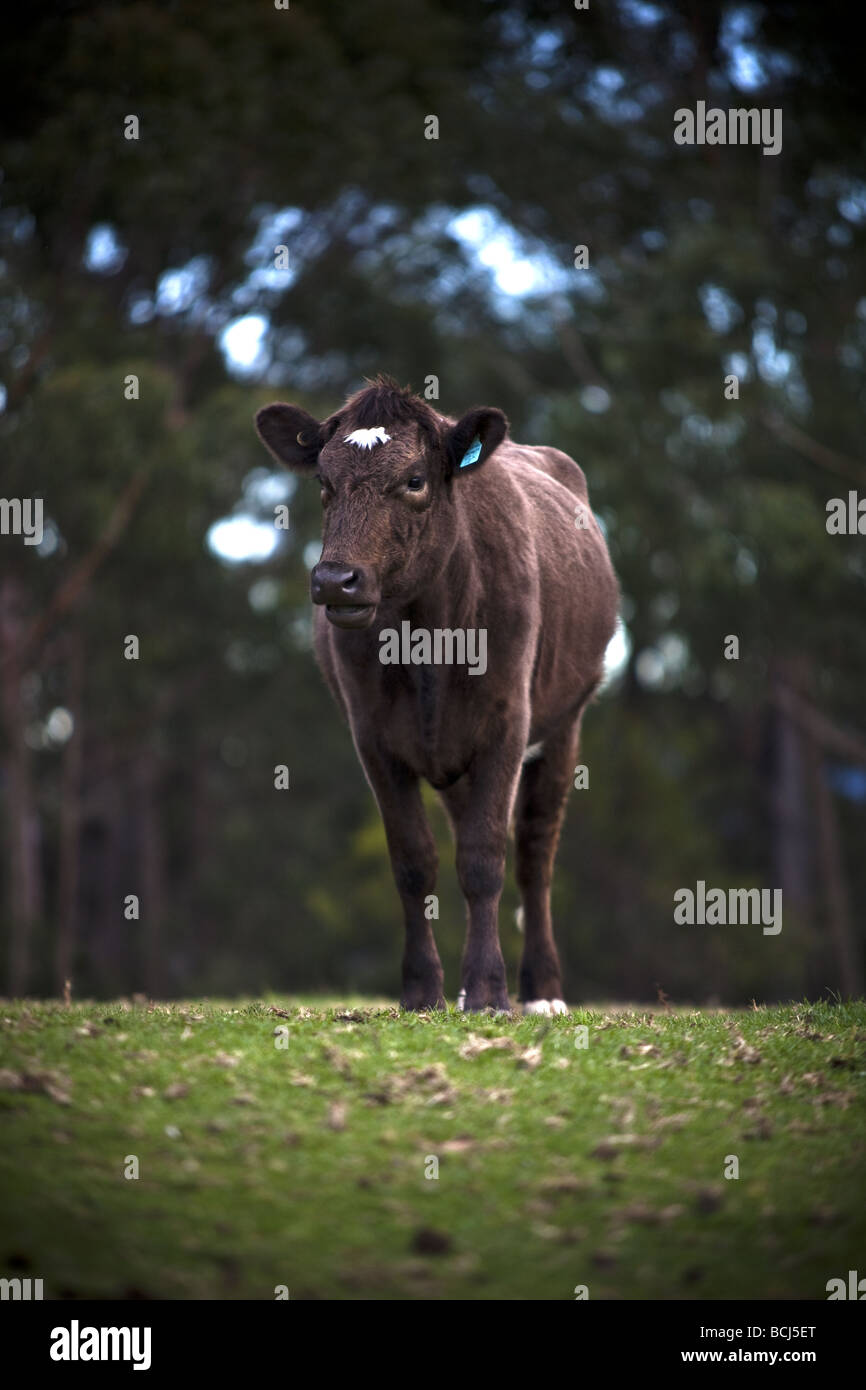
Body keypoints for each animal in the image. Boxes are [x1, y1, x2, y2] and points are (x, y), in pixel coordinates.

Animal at [254, 376, 619, 1013]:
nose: (335, 580)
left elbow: (484, 858)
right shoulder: (373, 738)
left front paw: (490, 991)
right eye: (323, 482)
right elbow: (413, 861)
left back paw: (542, 990)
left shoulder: (507, 722)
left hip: (564, 725)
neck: (428, 643)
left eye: (416, 480)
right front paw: (423, 990)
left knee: (535, 856)